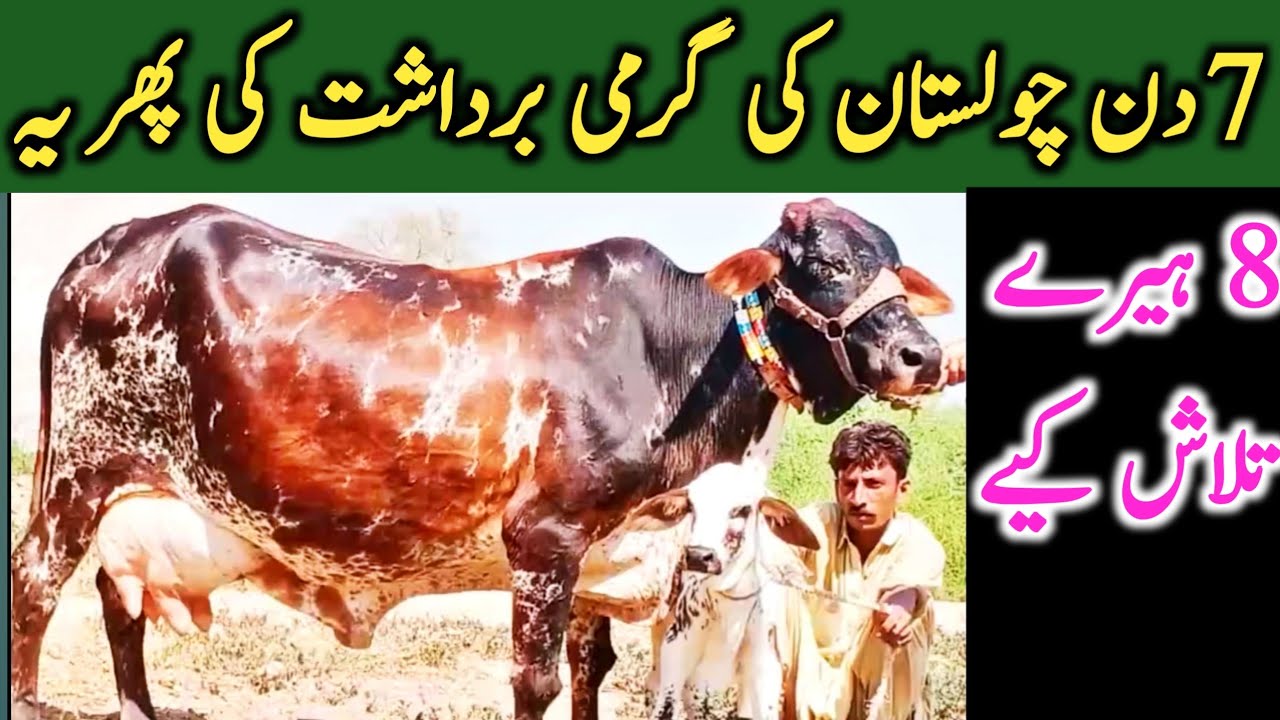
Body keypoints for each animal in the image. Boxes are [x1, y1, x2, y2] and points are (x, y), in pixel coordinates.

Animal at [9, 196, 954, 720]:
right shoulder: (546, 536)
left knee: (118, 598)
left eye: (896, 261)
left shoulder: (609, 564)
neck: (679, 362)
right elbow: (534, 680)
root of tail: (113, 243)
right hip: (75, 473)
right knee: (36, 586)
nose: (922, 356)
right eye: (826, 261)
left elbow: (590, 672)